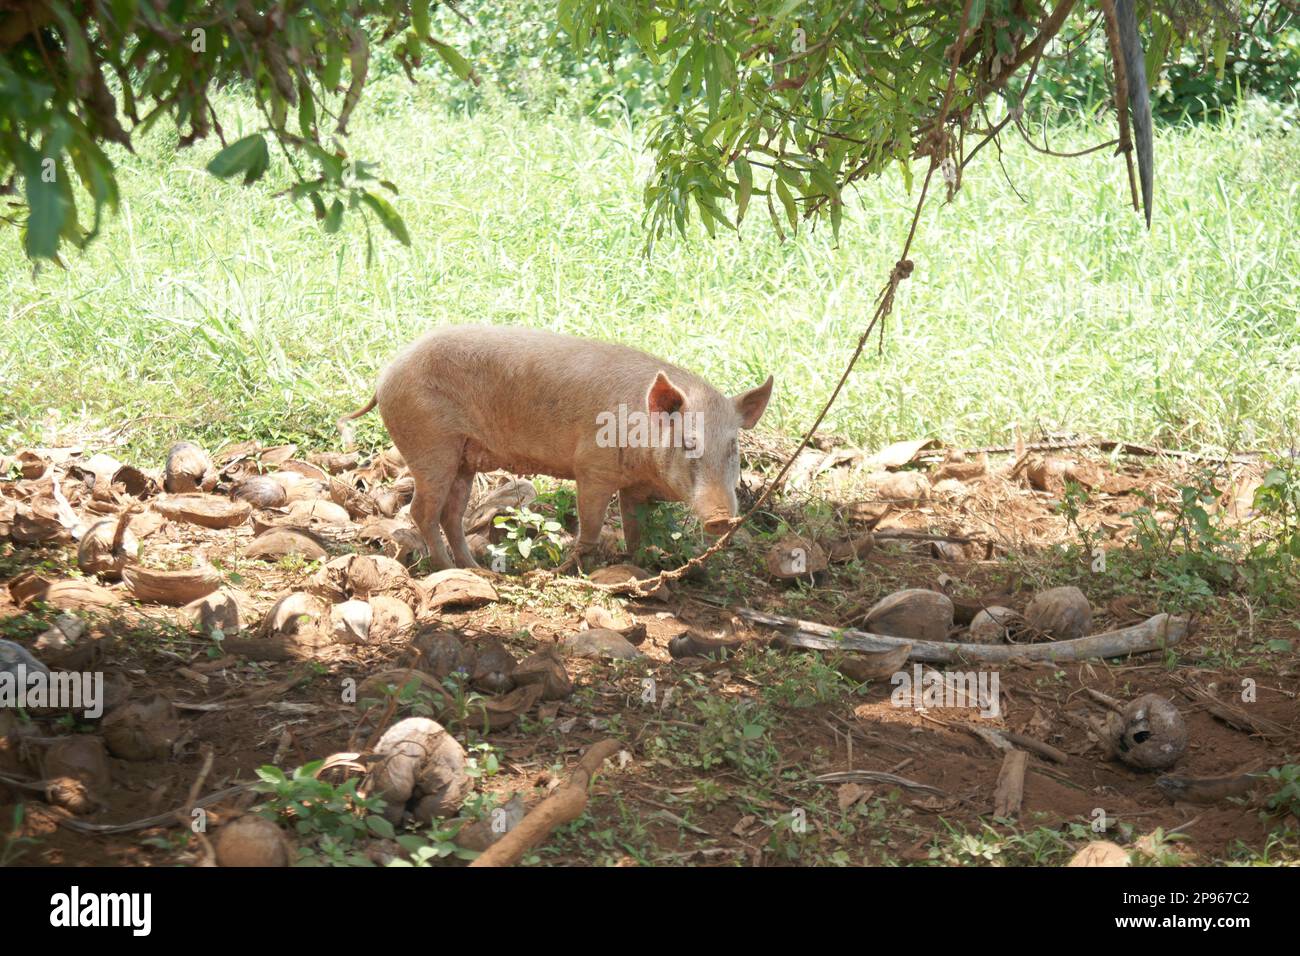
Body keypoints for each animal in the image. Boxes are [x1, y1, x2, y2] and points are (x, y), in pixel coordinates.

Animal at [338, 325, 773, 570]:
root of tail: (386, 373)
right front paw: (576, 569)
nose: (721, 519)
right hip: (431, 445)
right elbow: (592, 524)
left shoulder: (635, 487)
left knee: (451, 513)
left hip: (463, 457)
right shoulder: (592, 468)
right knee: (422, 510)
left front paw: (643, 565)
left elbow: (636, 528)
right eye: (688, 443)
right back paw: (449, 570)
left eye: (733, 448)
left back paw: (477, 568)